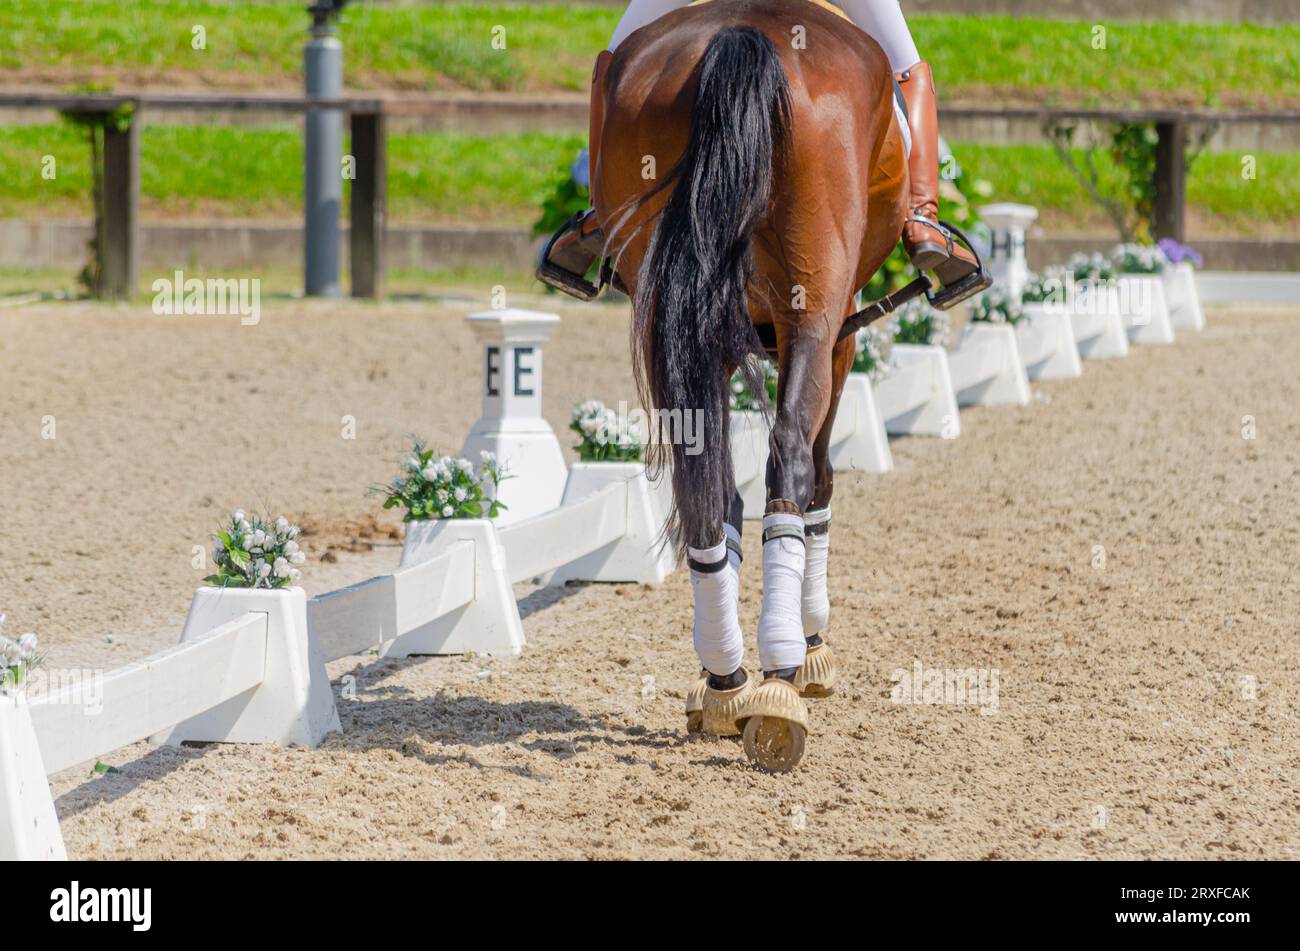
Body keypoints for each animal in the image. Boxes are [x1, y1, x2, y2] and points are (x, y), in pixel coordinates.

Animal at [591, 0, 921, 771]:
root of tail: (744, 33)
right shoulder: (839, 333)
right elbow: (819, 477)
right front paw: (810, 645)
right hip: (816, 309)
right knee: (791, 460)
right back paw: (777, 681)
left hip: (677, 309)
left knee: (704, 488)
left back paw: (726, 678)